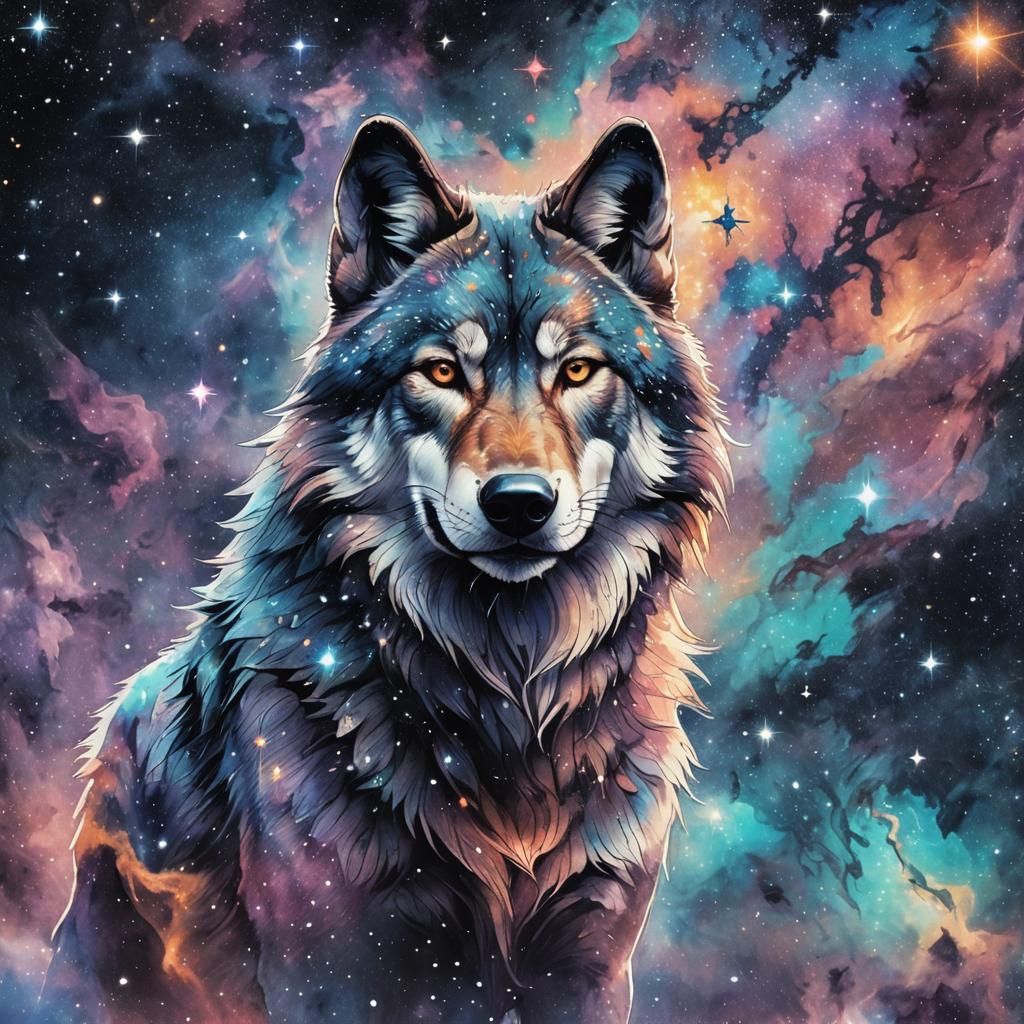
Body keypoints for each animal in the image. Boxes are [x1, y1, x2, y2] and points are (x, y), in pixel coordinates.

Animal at [44, 116, 731, 1024]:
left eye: (579, 370)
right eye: (440, 371)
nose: (520, 503)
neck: (504, 692)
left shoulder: (588, 968)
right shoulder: (336, 973)